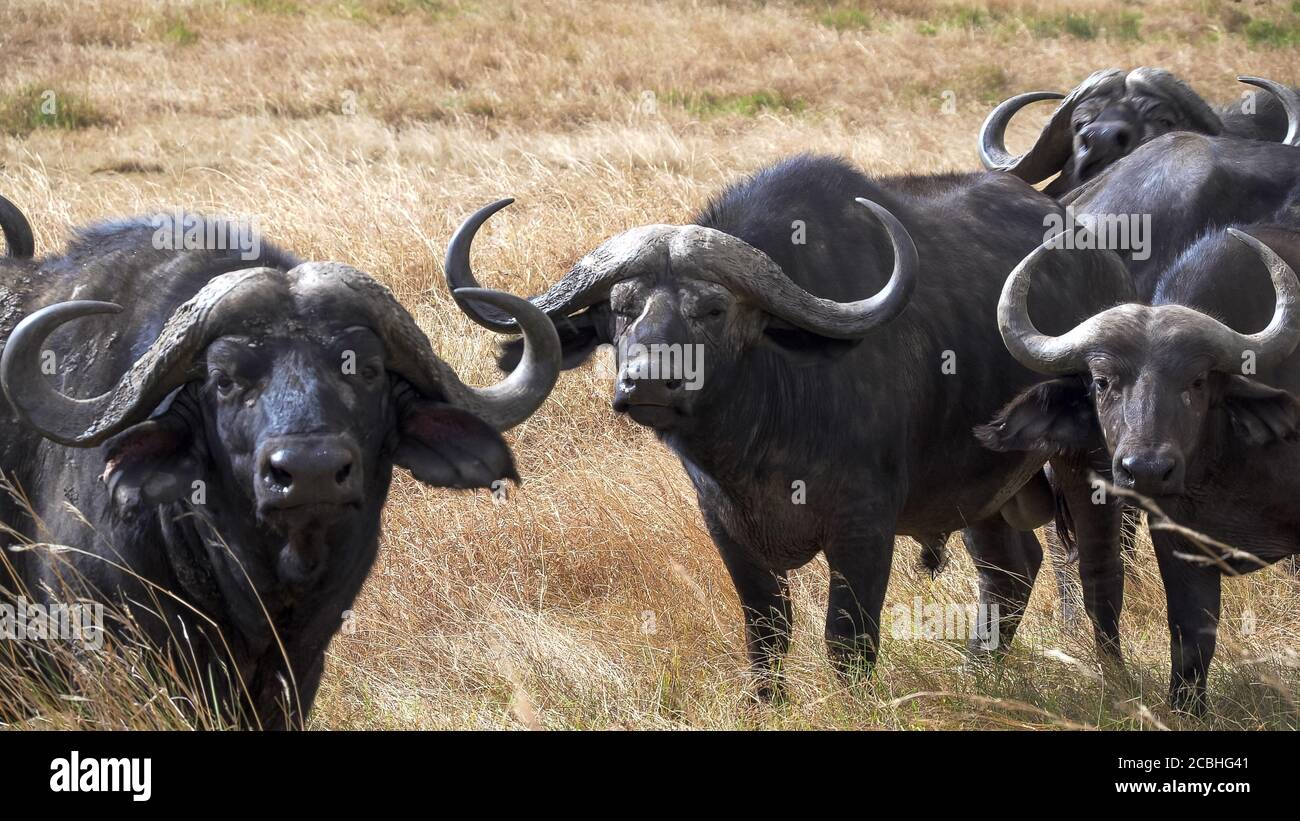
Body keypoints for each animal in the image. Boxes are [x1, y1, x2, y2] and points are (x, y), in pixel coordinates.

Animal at [442, 154, 1131, 696]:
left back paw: (1113, 679)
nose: (648, 382)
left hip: (1087, 463)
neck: (763, 432)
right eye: (621, 308)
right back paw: (977, 672)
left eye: (713, 309)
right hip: (979, 486)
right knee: (1010, 568)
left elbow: (847, 639)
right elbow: (766, 631)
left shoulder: (863, 525)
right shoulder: (726, 524)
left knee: (1097, 569)